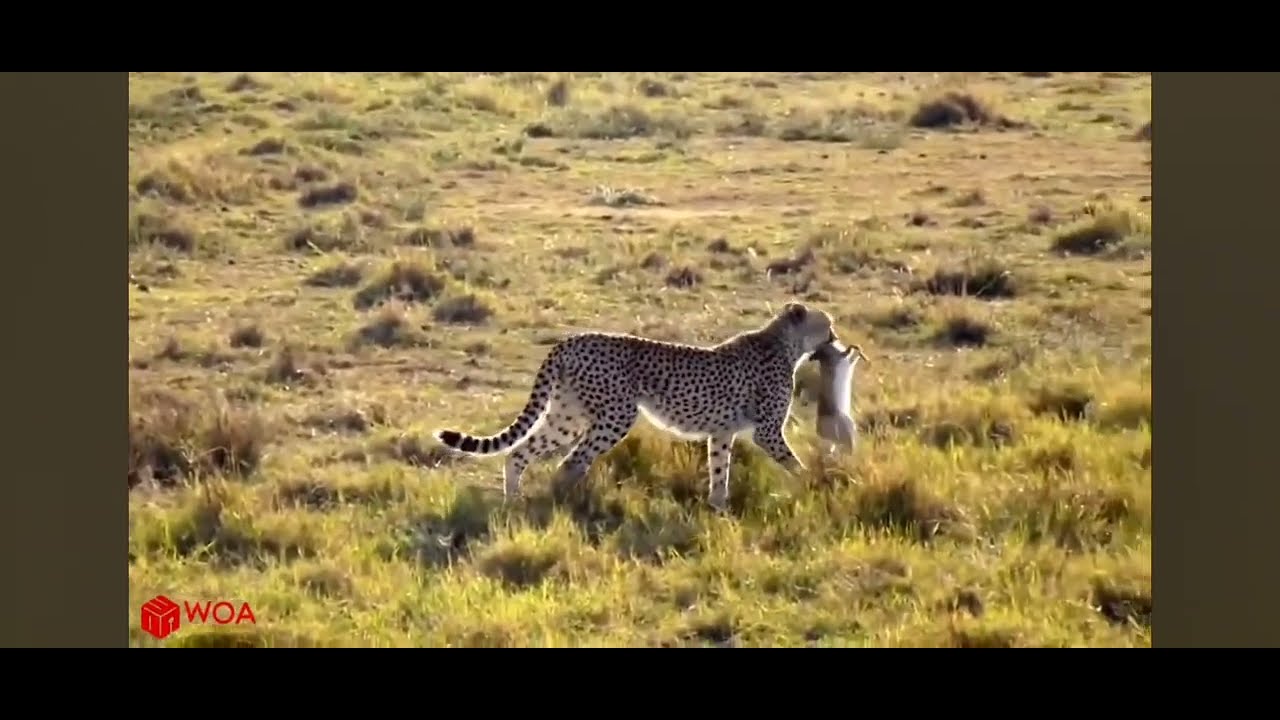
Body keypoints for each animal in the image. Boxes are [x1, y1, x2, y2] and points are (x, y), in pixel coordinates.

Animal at [432, 301, 843, 512]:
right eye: (827, 324)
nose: (837, 338)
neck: (785, 343)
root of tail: (570, 339)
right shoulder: (767, 432)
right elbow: (795, 463)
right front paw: (817, 485)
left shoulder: (721, 433)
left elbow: (719, 470)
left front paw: (719, 509)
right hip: (616, 414)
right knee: (571, 462)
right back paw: (573, 504)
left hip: (567, 414)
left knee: (519, 452)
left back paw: (513, 500)